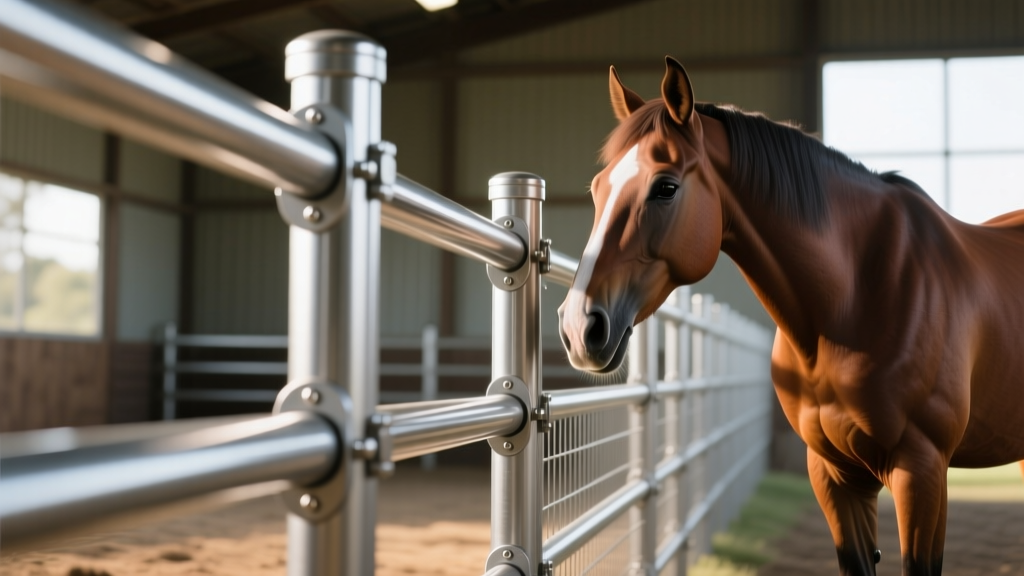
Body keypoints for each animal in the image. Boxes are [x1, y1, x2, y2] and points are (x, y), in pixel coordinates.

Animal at [557, 56, 1024, 576]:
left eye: (666, 187)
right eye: (597, 189)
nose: (579, 326)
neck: (858, 298)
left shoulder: (921, 471)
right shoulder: (833, 474)